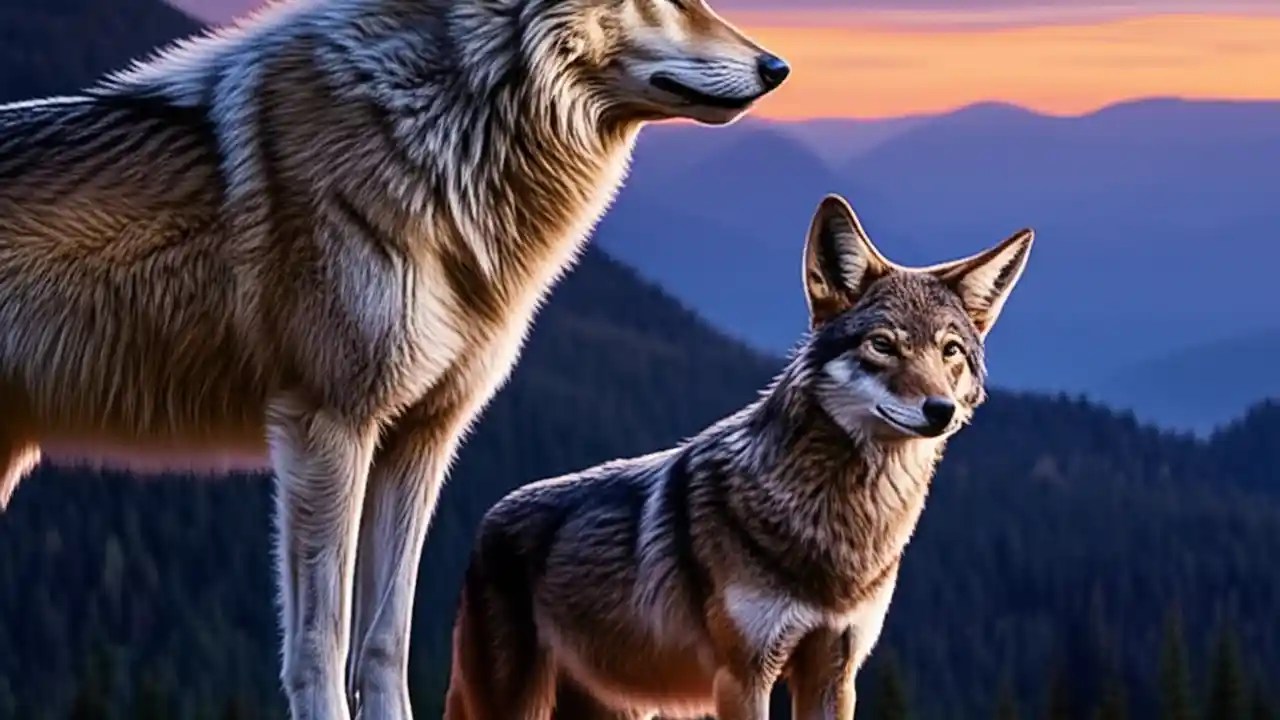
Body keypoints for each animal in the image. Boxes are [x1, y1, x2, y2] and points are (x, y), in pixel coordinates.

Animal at [0, 0, 788, 717]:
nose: (776, 68)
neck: (444, 128)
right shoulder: (328, 429)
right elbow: (321, 642)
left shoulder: (421, 436)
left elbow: (384, 641)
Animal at [445, 193, 1034, 720]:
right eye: (883, 345)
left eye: (950, 351)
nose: (940, 410)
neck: (840, 526)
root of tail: (489, 519)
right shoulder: (744, 677)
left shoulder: (833, 676)